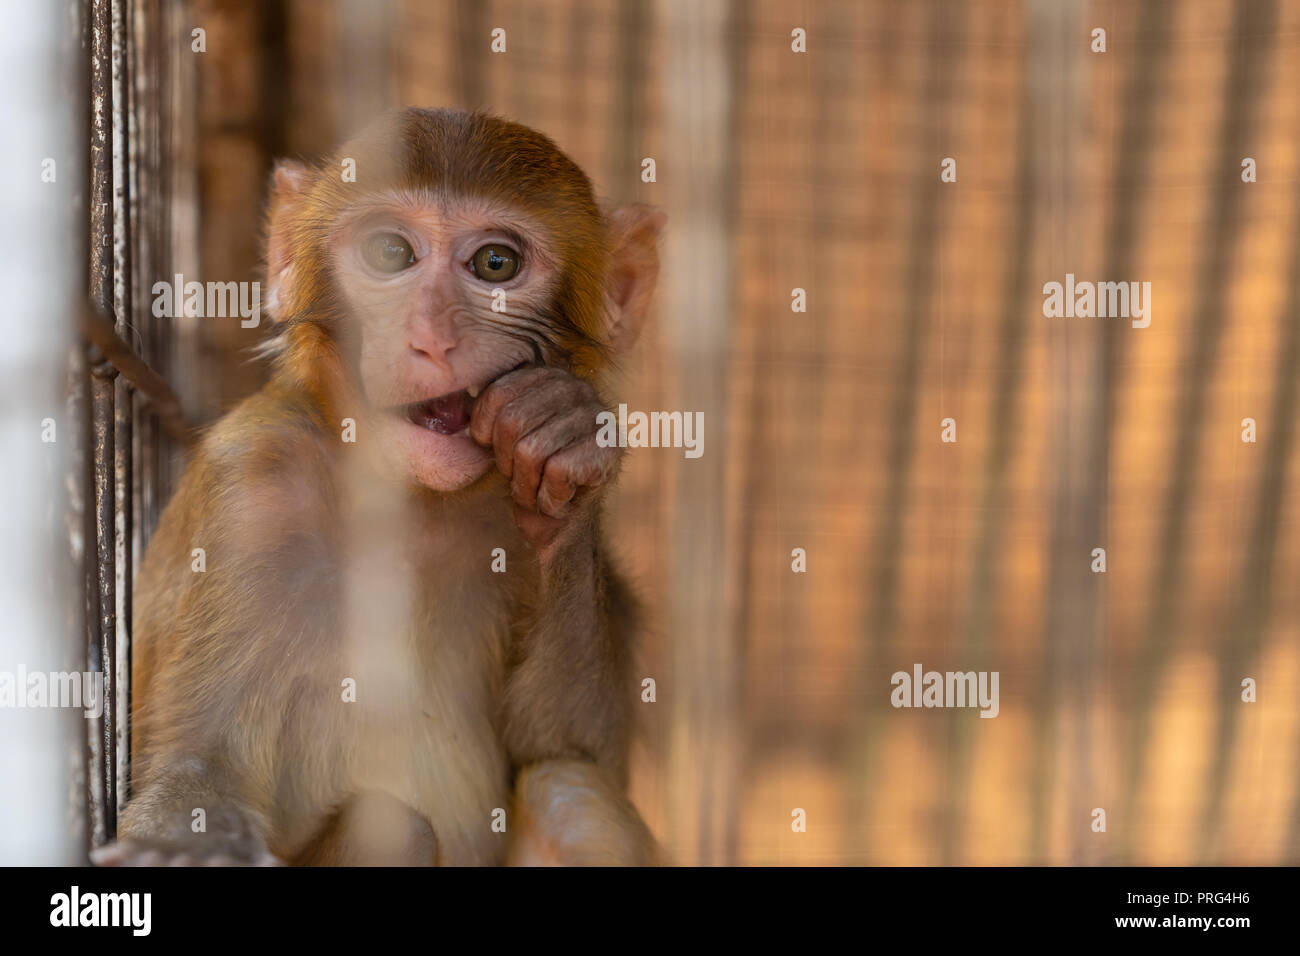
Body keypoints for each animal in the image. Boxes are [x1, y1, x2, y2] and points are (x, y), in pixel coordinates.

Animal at [91, 108, 665, 866]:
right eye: (391, 254)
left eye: (496, 264)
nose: (431, 336)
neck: (401, 503)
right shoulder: (250, 489)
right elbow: (200, 766)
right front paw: (187, 844)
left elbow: (571, 744)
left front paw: (563, 441)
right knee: (393, 825)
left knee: (572, 793)